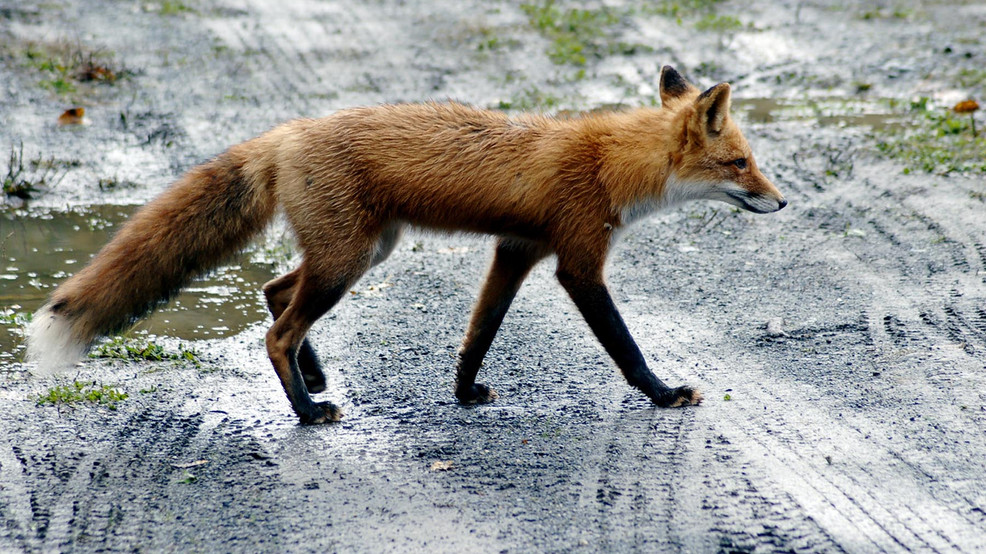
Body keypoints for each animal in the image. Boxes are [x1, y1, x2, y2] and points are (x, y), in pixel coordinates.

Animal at [27, 66, 785, 424]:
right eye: (741, 164)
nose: (783, 202)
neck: (610, 162)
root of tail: (287, 132)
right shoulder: (577, 262)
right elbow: (625, 348)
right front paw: (663, 395)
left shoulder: (515, 250)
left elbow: (479, 332)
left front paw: (463, 392)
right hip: (348, 261)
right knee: (277, 329)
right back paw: (308, 410)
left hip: (363, 251)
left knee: (273, 292)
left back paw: (314, 378)